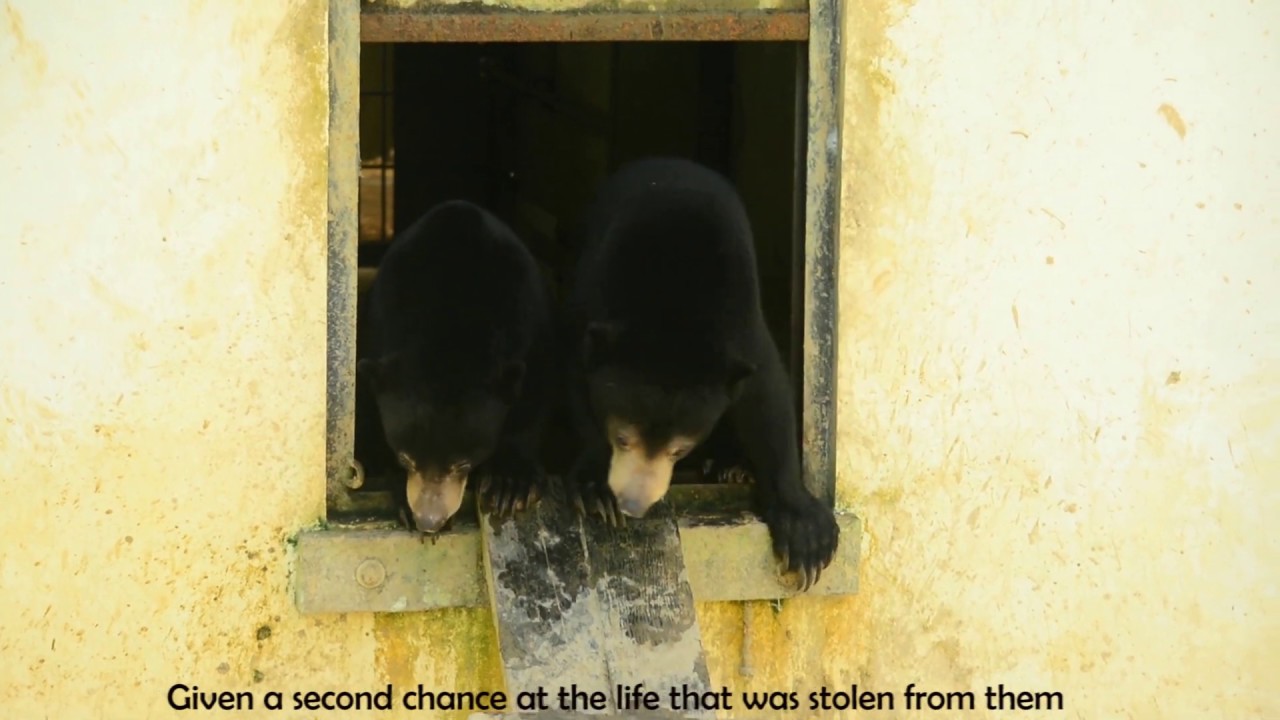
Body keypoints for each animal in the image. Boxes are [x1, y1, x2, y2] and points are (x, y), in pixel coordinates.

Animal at [356, 199, 554, 534]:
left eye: (462, 462)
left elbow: (531, 397)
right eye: (406, 458)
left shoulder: (531, 323)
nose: (429, 522)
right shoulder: (377, 326)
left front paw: (510, 487)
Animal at [561, 156, 839, 590]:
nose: (633, 504)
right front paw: (596, 493)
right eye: (622, 437)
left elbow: (768, 399)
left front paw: (807, 538)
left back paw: (732, 466)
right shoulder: (591, 303)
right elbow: (576, 377)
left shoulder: (741, 327)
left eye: (680, 448)